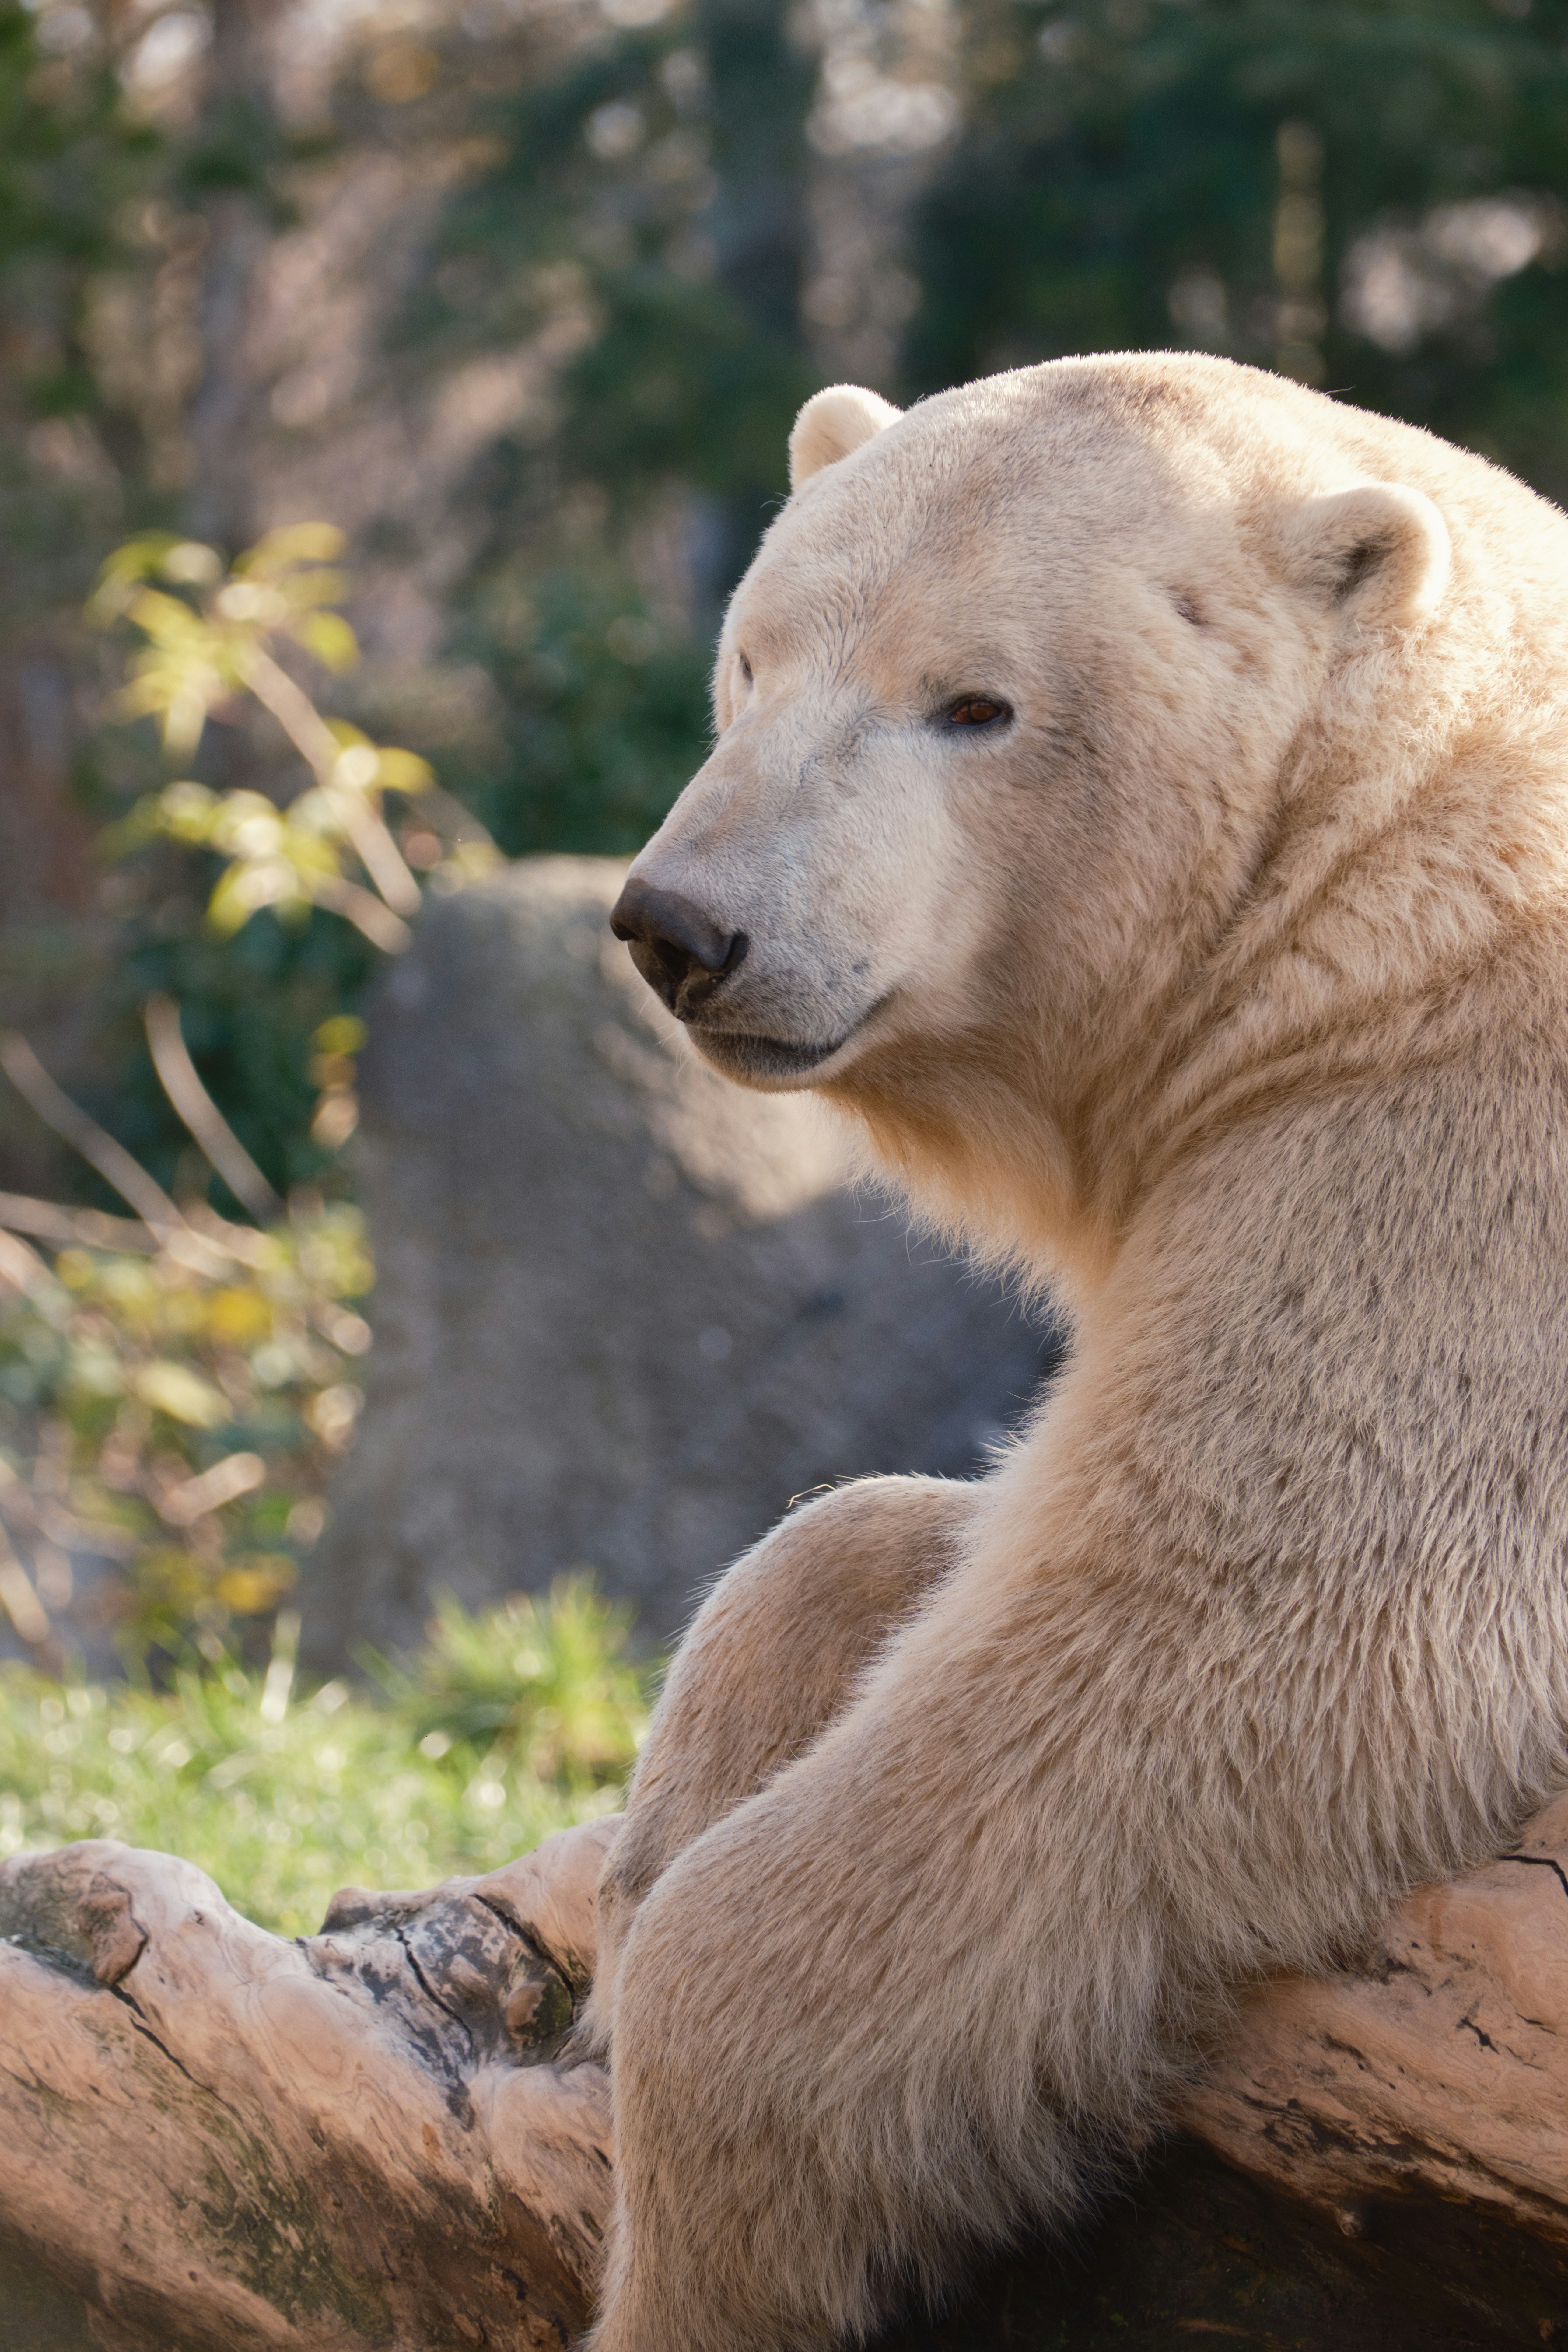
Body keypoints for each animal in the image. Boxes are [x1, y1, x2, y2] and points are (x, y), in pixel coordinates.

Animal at [592, 350, 1568, 2352]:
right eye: (754, 657)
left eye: (977, 704)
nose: (685, 927)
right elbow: (913, 1526)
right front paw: (663, 1817)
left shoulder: (1450, 1146)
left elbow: (1209, 1635)